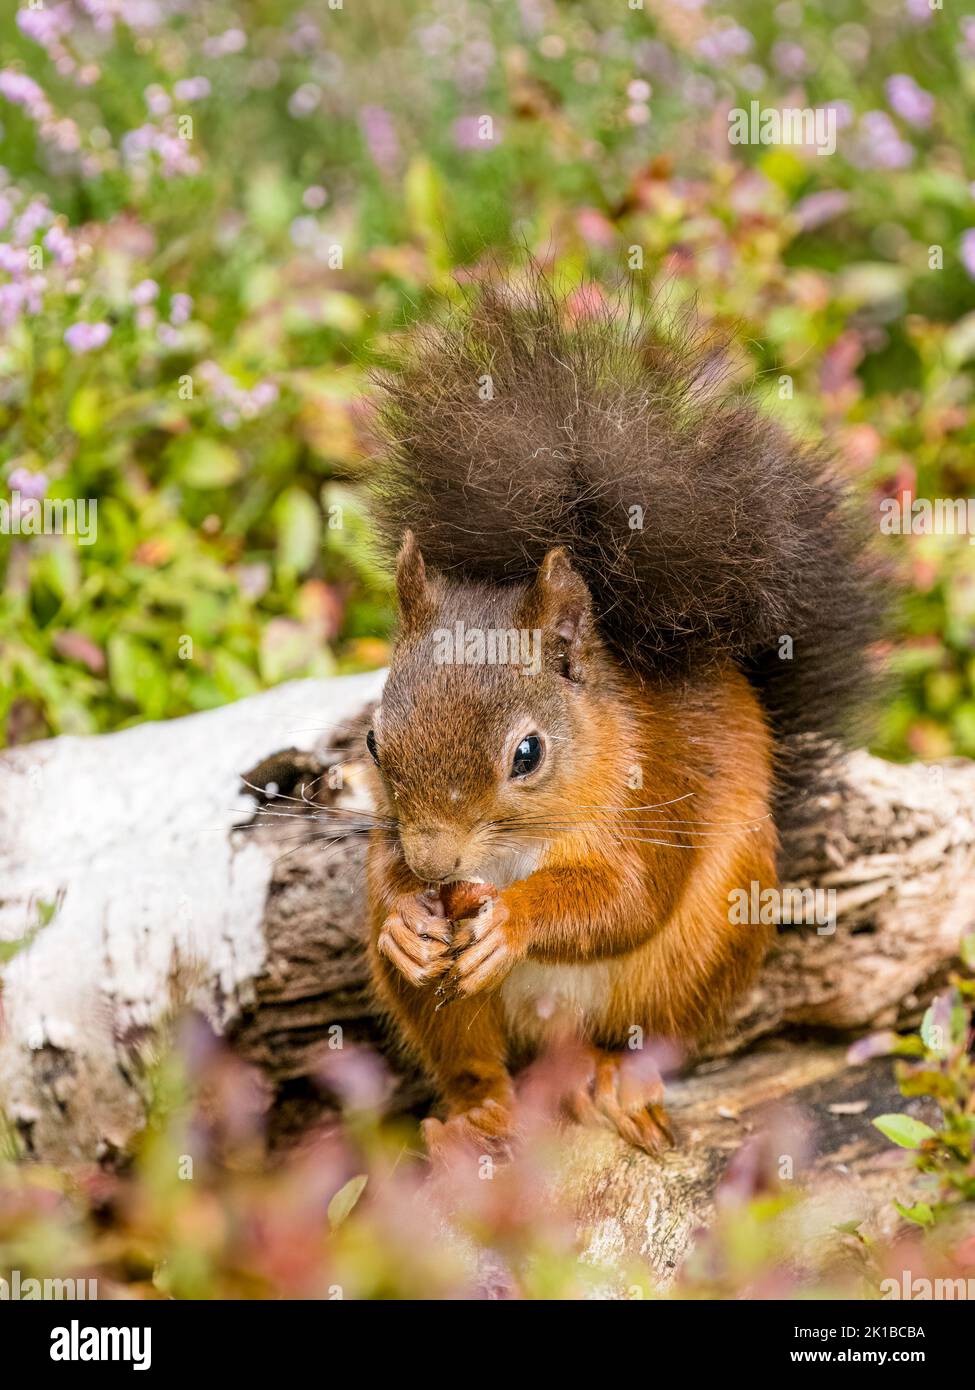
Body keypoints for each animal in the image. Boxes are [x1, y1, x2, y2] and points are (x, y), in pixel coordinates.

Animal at [362, 277, 881, 1156]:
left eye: (527, 754)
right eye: (371, 741)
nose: (434, 867)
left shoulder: (653, 788)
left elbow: (626, 898)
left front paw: (513, 918)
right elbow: (377, 872)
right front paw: (406, 913)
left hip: (704, 946)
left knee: (648, 1035)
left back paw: (618, 1081)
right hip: (449, 1011)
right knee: (474, 1064)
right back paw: (473, 1121)